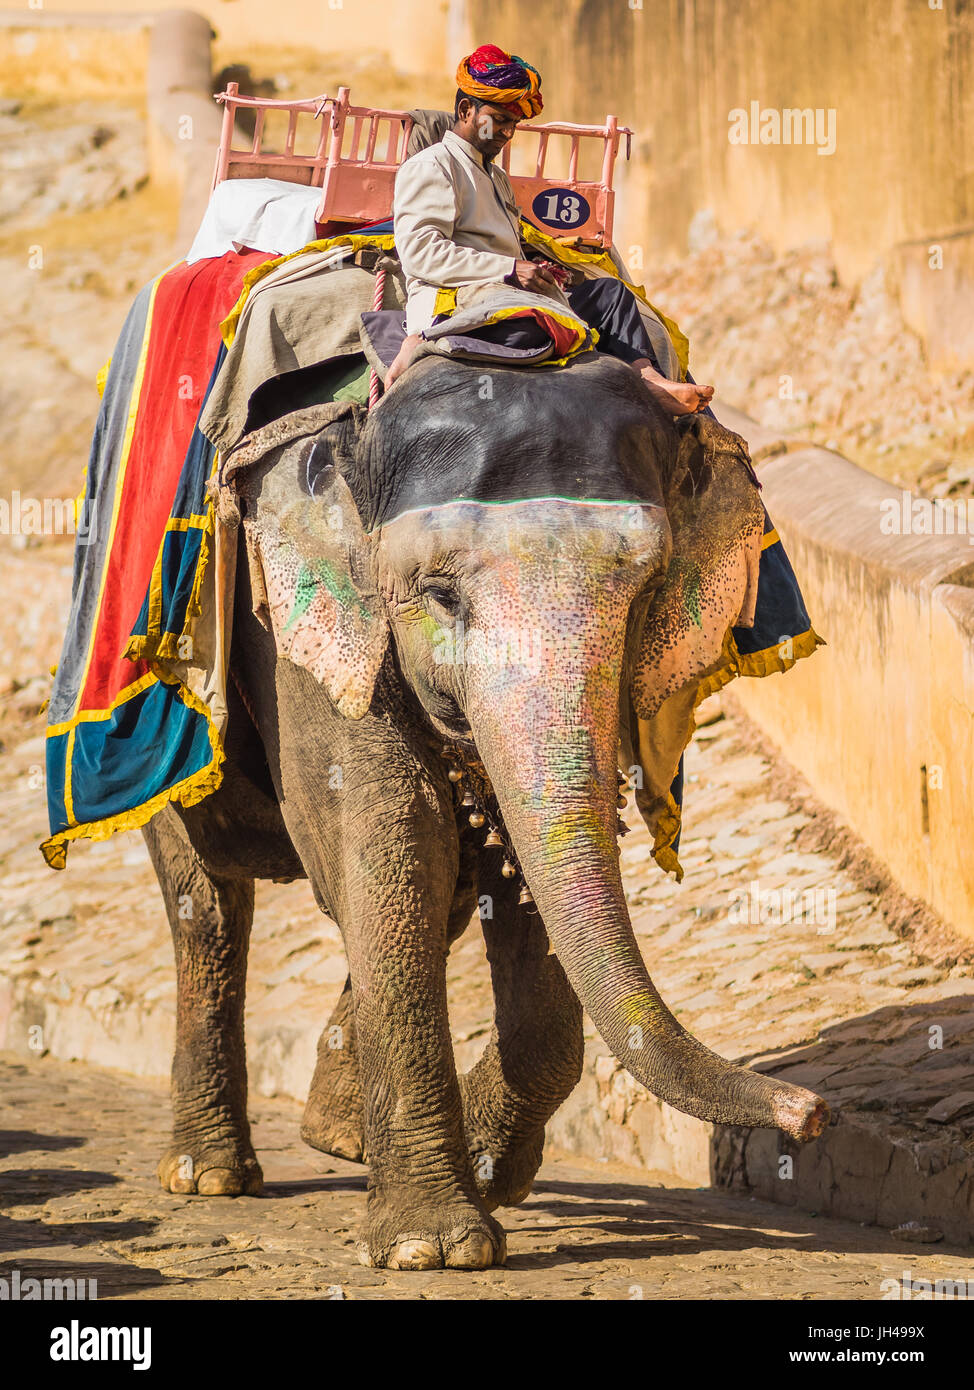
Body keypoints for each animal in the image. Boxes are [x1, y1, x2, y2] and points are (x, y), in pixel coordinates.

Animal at [142, 348, 828, 1271]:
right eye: (438, 594)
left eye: (649, 589)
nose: (811, 1114)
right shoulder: (299, 636)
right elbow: (395, 838)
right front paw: (433, 1248)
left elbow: (511, 870)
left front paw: (485, 1167)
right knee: (208, 895)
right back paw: (211, 1174)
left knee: (445, 897)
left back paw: (336, 1132)